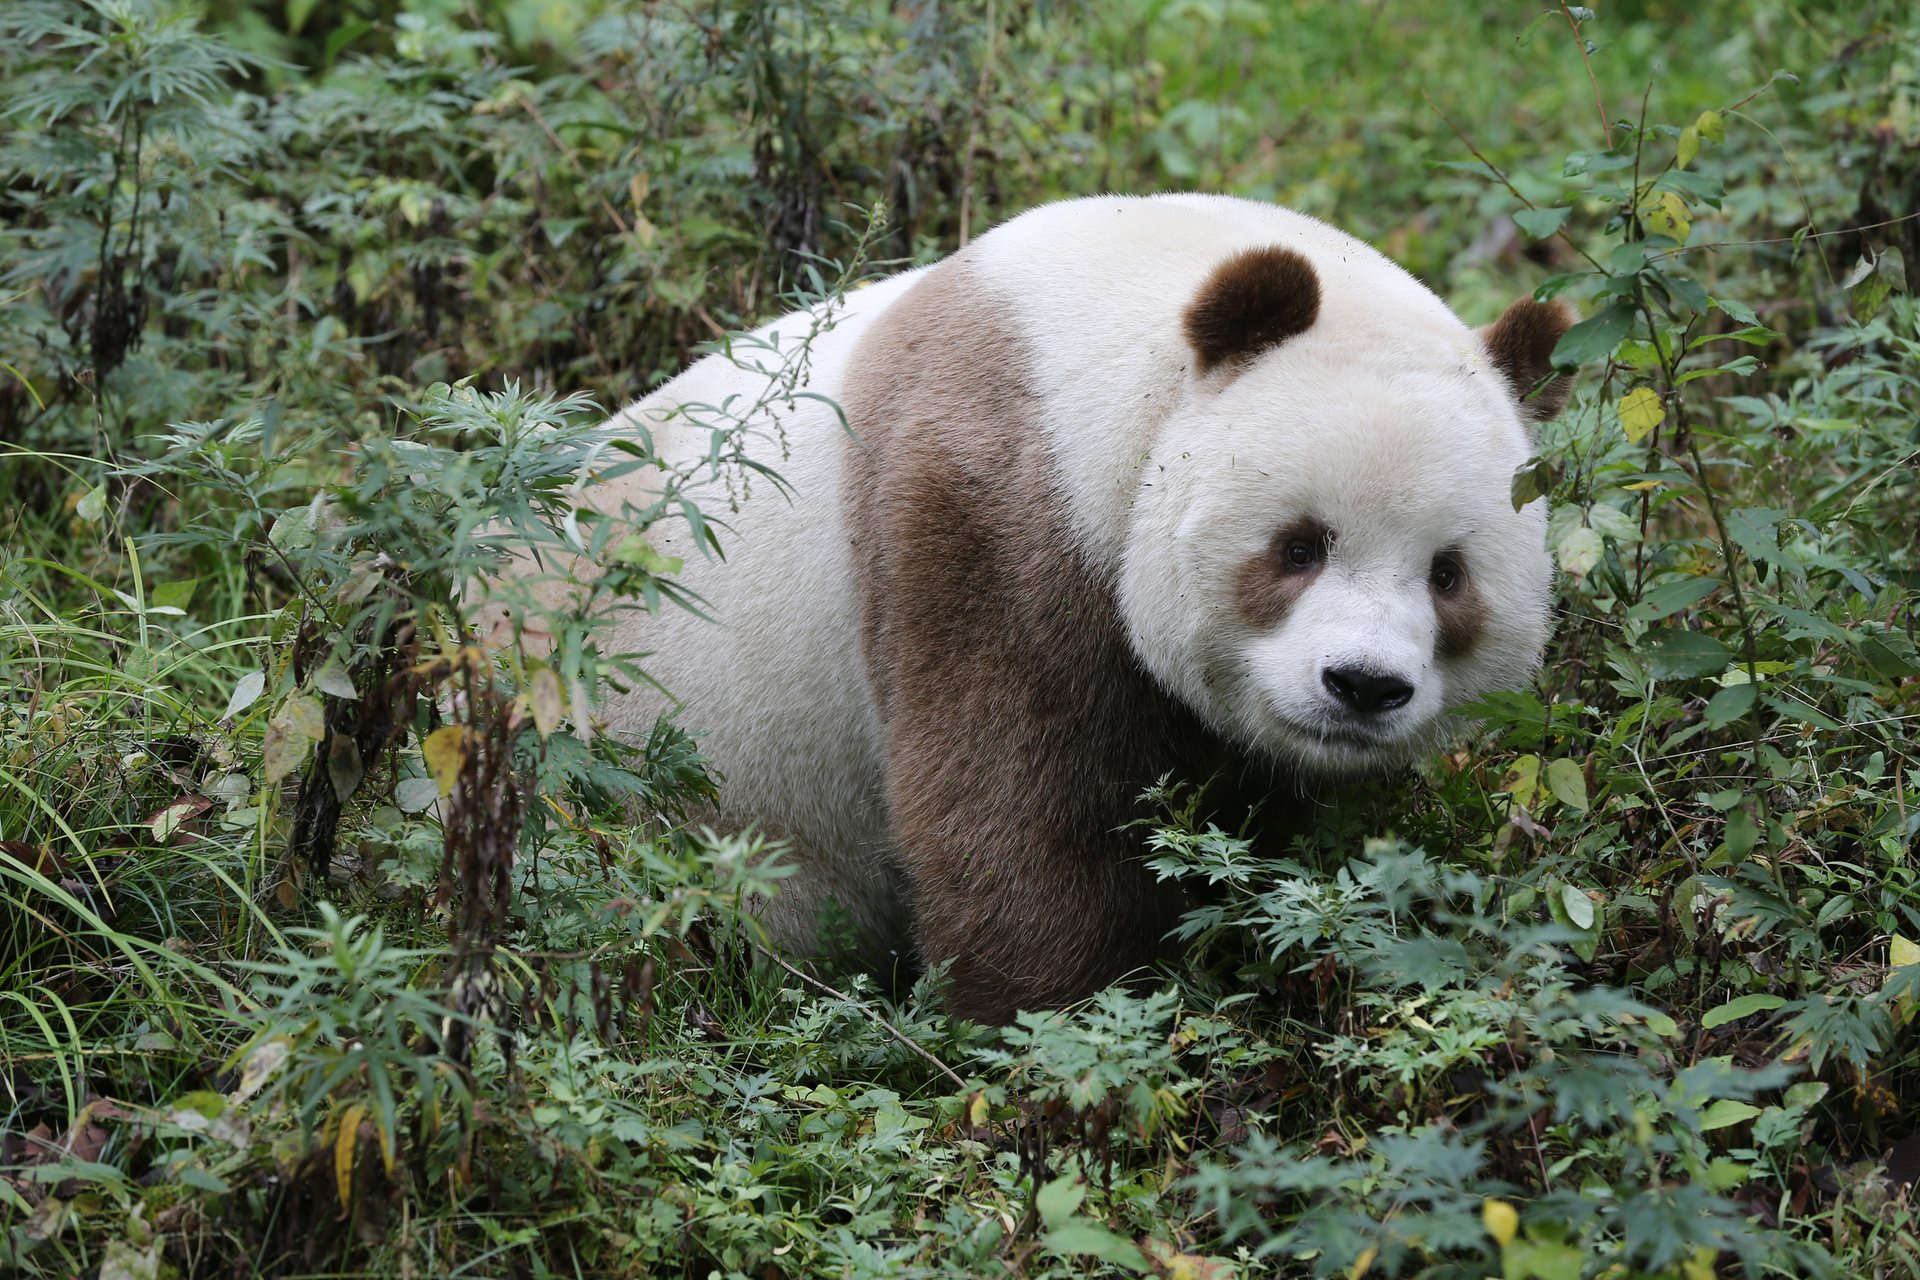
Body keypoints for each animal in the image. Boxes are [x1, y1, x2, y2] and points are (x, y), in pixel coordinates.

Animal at [577, 194, 1572, 1025]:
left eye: (1448, 575)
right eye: (1300, 545)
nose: (1363, 686)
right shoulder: (992, 519)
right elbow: (1017, 814)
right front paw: (1057, 1021)